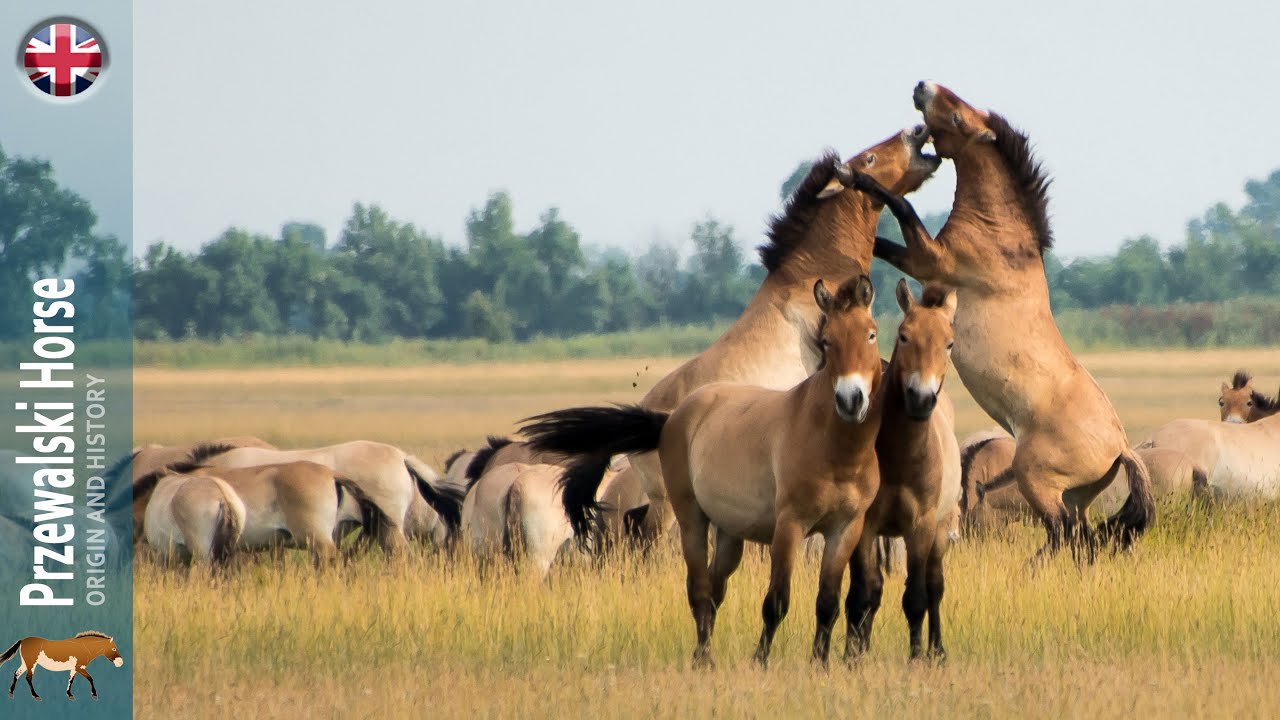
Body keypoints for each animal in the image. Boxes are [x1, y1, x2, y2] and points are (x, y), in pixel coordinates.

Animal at [522, 275, 884, 668]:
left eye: (871, 334)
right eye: (827, 340)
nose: (851, 400)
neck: (834, 451)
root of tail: (673, 417)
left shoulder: (844, 530)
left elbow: (827, 603)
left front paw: (820, 662)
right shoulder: (790, 526)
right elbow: (776, 601)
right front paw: (760, 661)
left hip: (728, 534)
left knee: (714, 590)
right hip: (690, 519)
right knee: (698, 589)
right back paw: (703, 660)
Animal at [837, 81, 1155, 555]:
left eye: (958, 116)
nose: (922, 87)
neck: (1001, 236)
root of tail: (1121, 447)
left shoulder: (929, 259)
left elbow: (897, 215)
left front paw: (852, 178)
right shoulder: (932, 283)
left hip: (1035, 479)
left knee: (1061, 531)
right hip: (1076, 495)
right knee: (1080, 539)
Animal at [845, 280, 959, 661]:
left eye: (949, 343)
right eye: (904, 336)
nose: (921, 400)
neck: (902, 457)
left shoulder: (920, 526)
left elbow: (917, 598)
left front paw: (917, 656)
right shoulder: (865, 526)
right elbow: (863, 594)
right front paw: (853, 655)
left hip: (940, 531)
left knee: (934, 585)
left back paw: (936, 650)